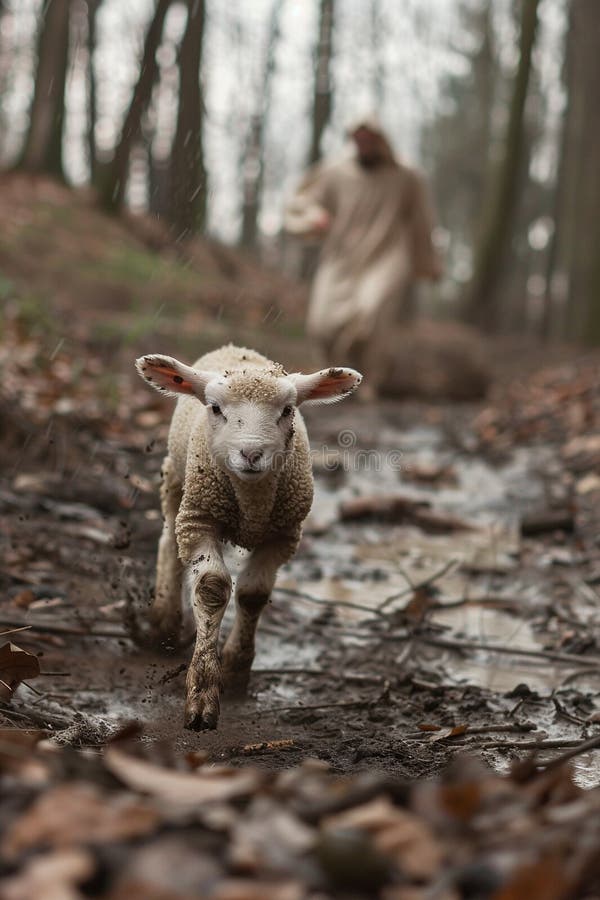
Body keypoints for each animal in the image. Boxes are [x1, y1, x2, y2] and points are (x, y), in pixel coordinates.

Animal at [136, 344, 362, 730]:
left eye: (287, 410)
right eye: (215, 408)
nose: (252, 454)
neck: (252, 501)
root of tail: (236, 349)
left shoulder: (283, 535)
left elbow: (253, 595)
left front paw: (236, 669)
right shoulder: (199, 520)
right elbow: (211, 587)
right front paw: (202, 695)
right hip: (177, 481)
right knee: (169, 540)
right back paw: (163, 620)